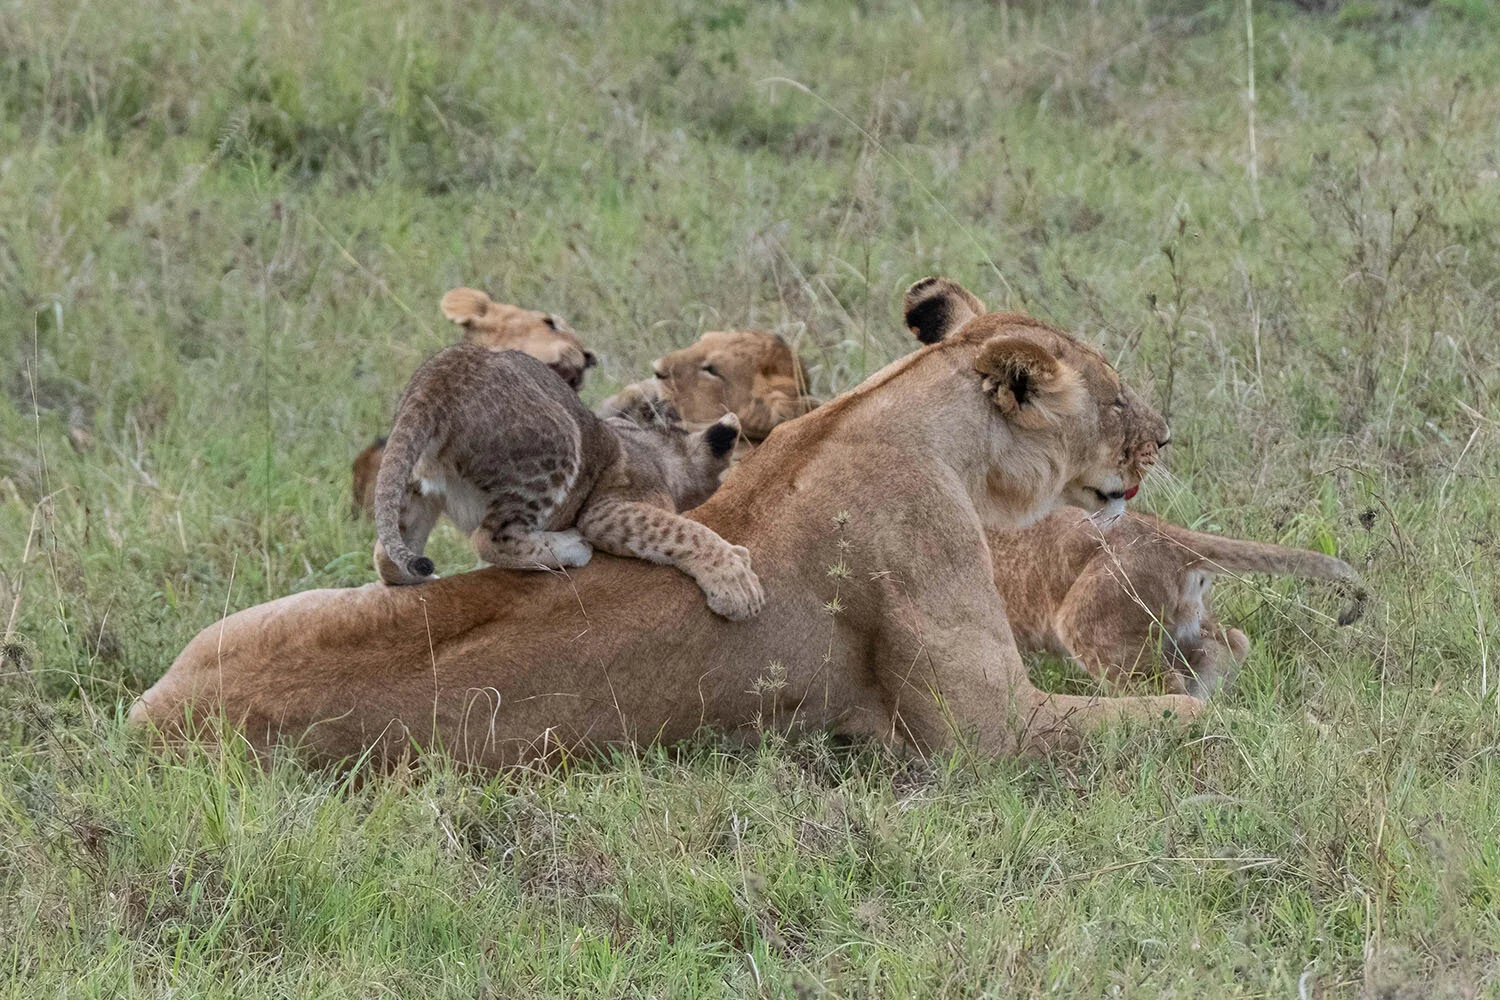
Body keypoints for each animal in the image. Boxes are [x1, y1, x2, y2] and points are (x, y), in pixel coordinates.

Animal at [601, 285, 1365, 698]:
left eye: (707, 367)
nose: (652, 370)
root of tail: (1167, 536)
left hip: (1097, 628)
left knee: (1170, 684)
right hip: (1179, 622)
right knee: (1229, 642)